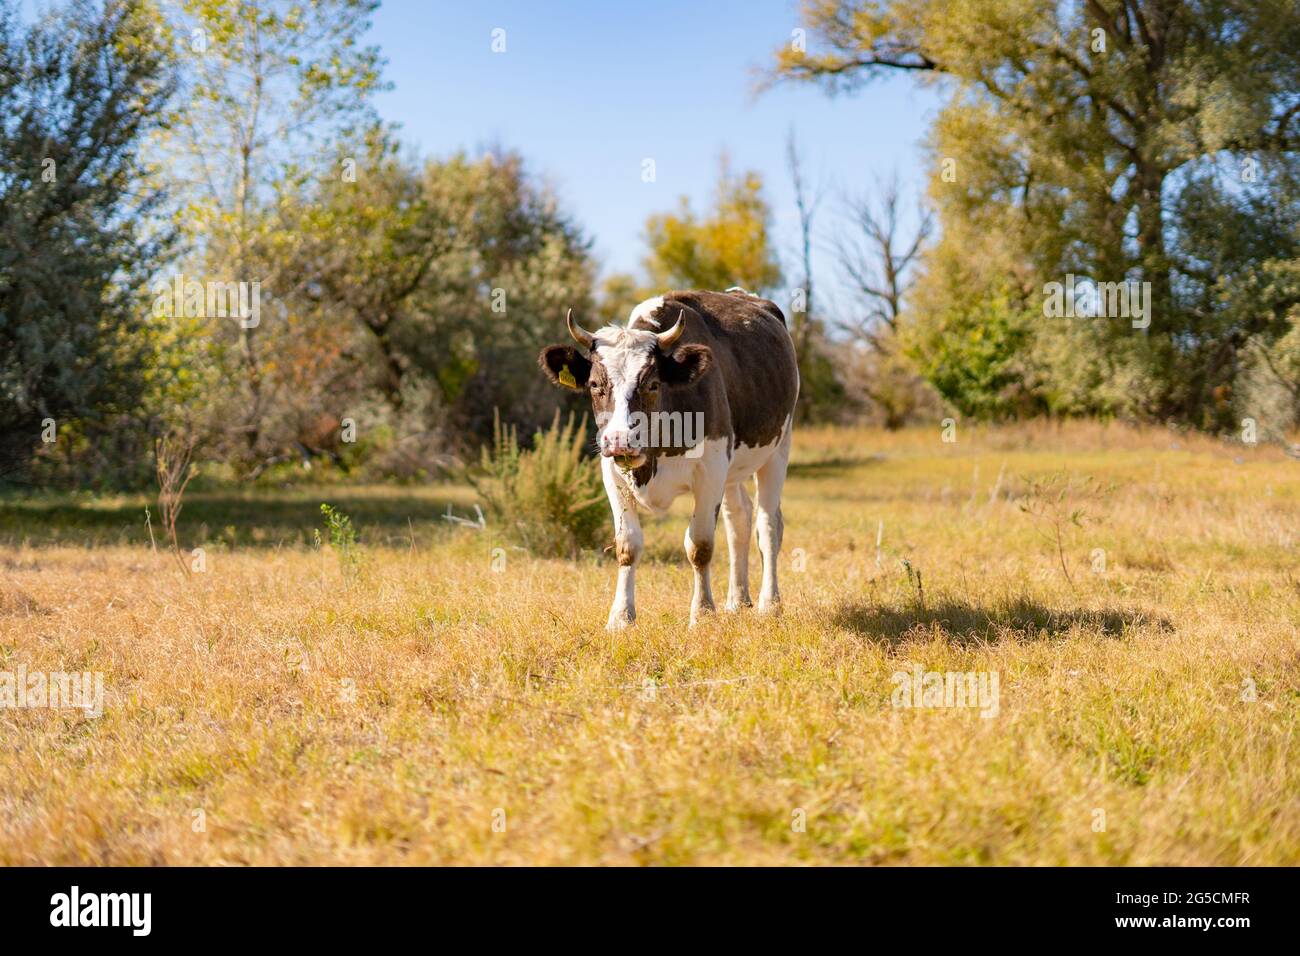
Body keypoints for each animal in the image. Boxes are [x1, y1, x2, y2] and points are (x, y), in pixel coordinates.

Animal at [539, 288, 798, 629]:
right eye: (595, 385)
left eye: (652, 384)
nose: (620, 439)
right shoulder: (612, 471)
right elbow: (627, 545)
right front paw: (621, 617)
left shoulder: (711, 468)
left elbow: (700, 546)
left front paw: (703, 613)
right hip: (733, 471)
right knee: (739, 520)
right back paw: (737, 600)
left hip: (778, 448)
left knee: (768, 526)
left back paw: (770, 604)